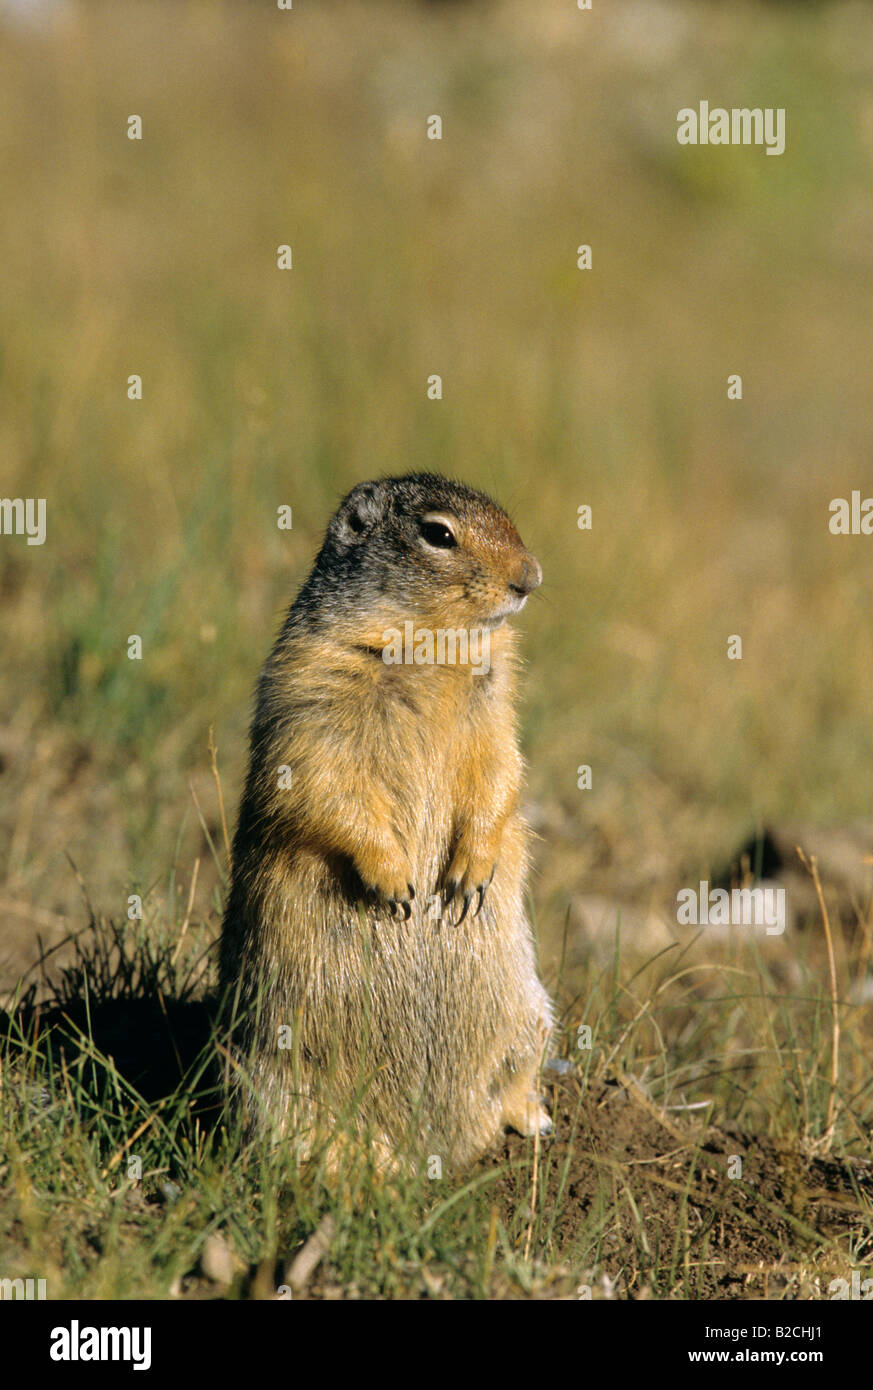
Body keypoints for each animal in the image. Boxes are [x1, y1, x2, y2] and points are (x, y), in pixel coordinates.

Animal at [219, 473, 554, 1170]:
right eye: (437, 533)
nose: (531, 578)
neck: (431, 647)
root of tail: (434, 1144)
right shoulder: (313, 679)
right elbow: (324, 781)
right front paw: (397, 885)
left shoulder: (495, 700)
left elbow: (500, 768)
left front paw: (467, 878)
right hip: (274, 1075)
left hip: (531, 1017)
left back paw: (531, 1119)